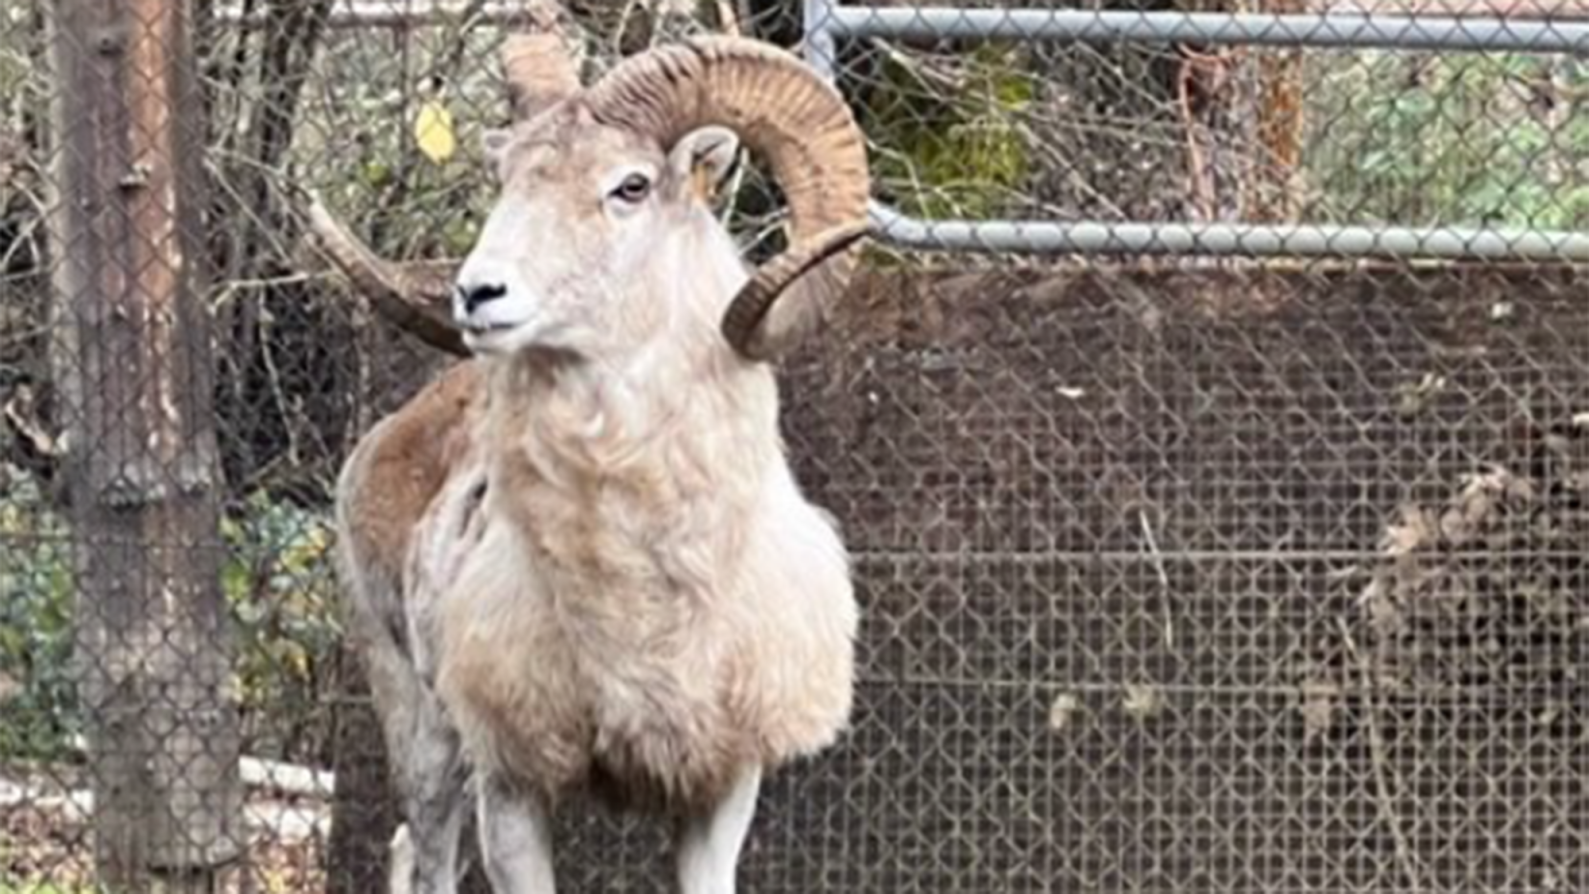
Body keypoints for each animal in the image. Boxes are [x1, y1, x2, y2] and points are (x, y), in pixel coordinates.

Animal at [310, 14, 871, 894]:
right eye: (506, 178)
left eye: (630, 186)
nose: (478, 294)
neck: (643, 603)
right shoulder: (511, 783)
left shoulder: (721, 788)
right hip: (422, 733)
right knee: (422, 855)